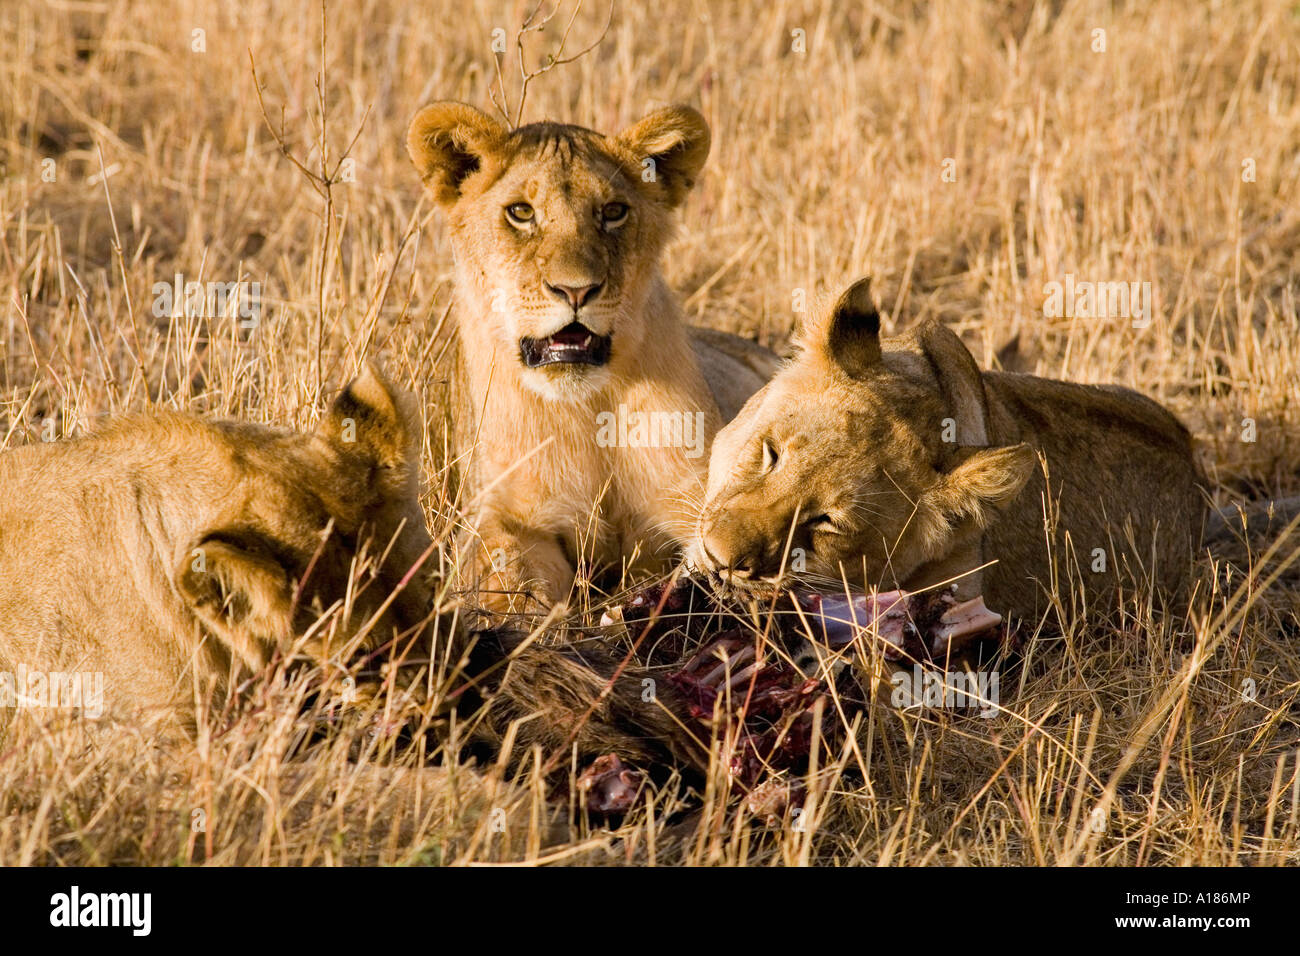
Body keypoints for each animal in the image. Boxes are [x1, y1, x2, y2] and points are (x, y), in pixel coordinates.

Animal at [406, 102, 779, 613]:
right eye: (521, 212)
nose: (576, 290)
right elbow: (506, 574)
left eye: (613, 212)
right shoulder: (501, 517)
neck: (587, 412)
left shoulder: (696, 499)